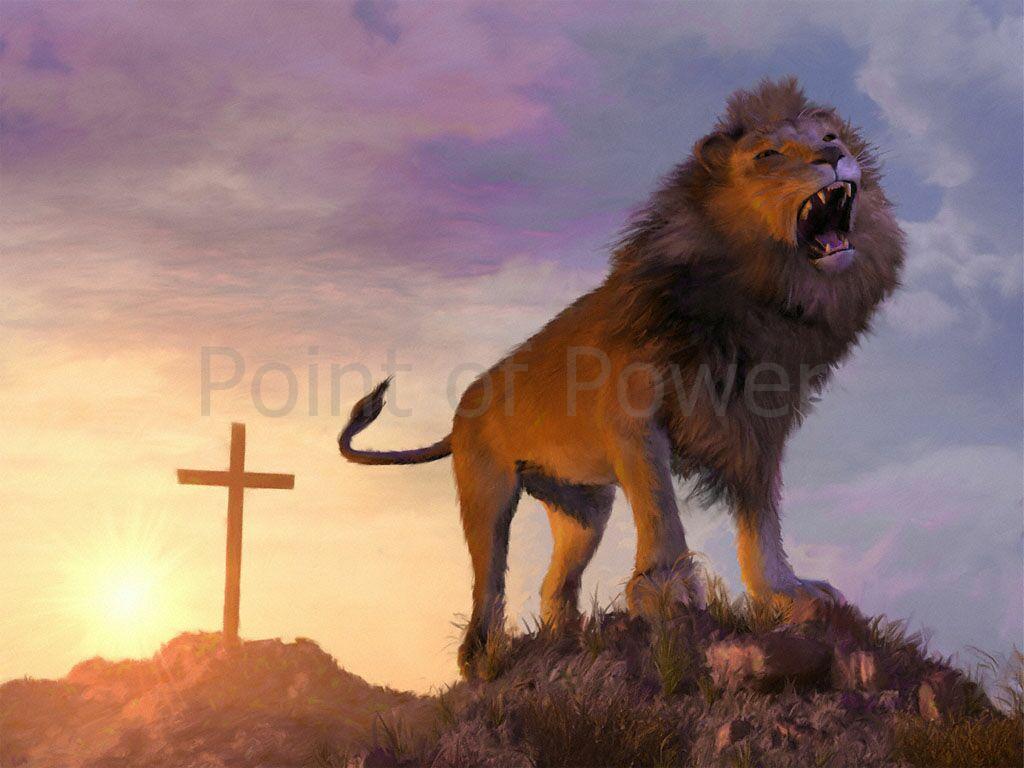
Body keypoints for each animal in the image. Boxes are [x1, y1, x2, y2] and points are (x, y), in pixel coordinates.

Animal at [338, 77, 905, 675]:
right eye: (769, 155)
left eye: (829, 136)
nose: (833, 158)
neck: (758, 292)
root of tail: (460, 412)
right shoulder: (633, 420)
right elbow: (659, 507)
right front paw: (666, 590)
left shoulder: (754, 427)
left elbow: (762, 522)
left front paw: (785, 593)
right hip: (487, 493)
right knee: (487, 587)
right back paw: (482, 662)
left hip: (583, 510)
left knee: (553, 586)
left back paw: (568, 638)